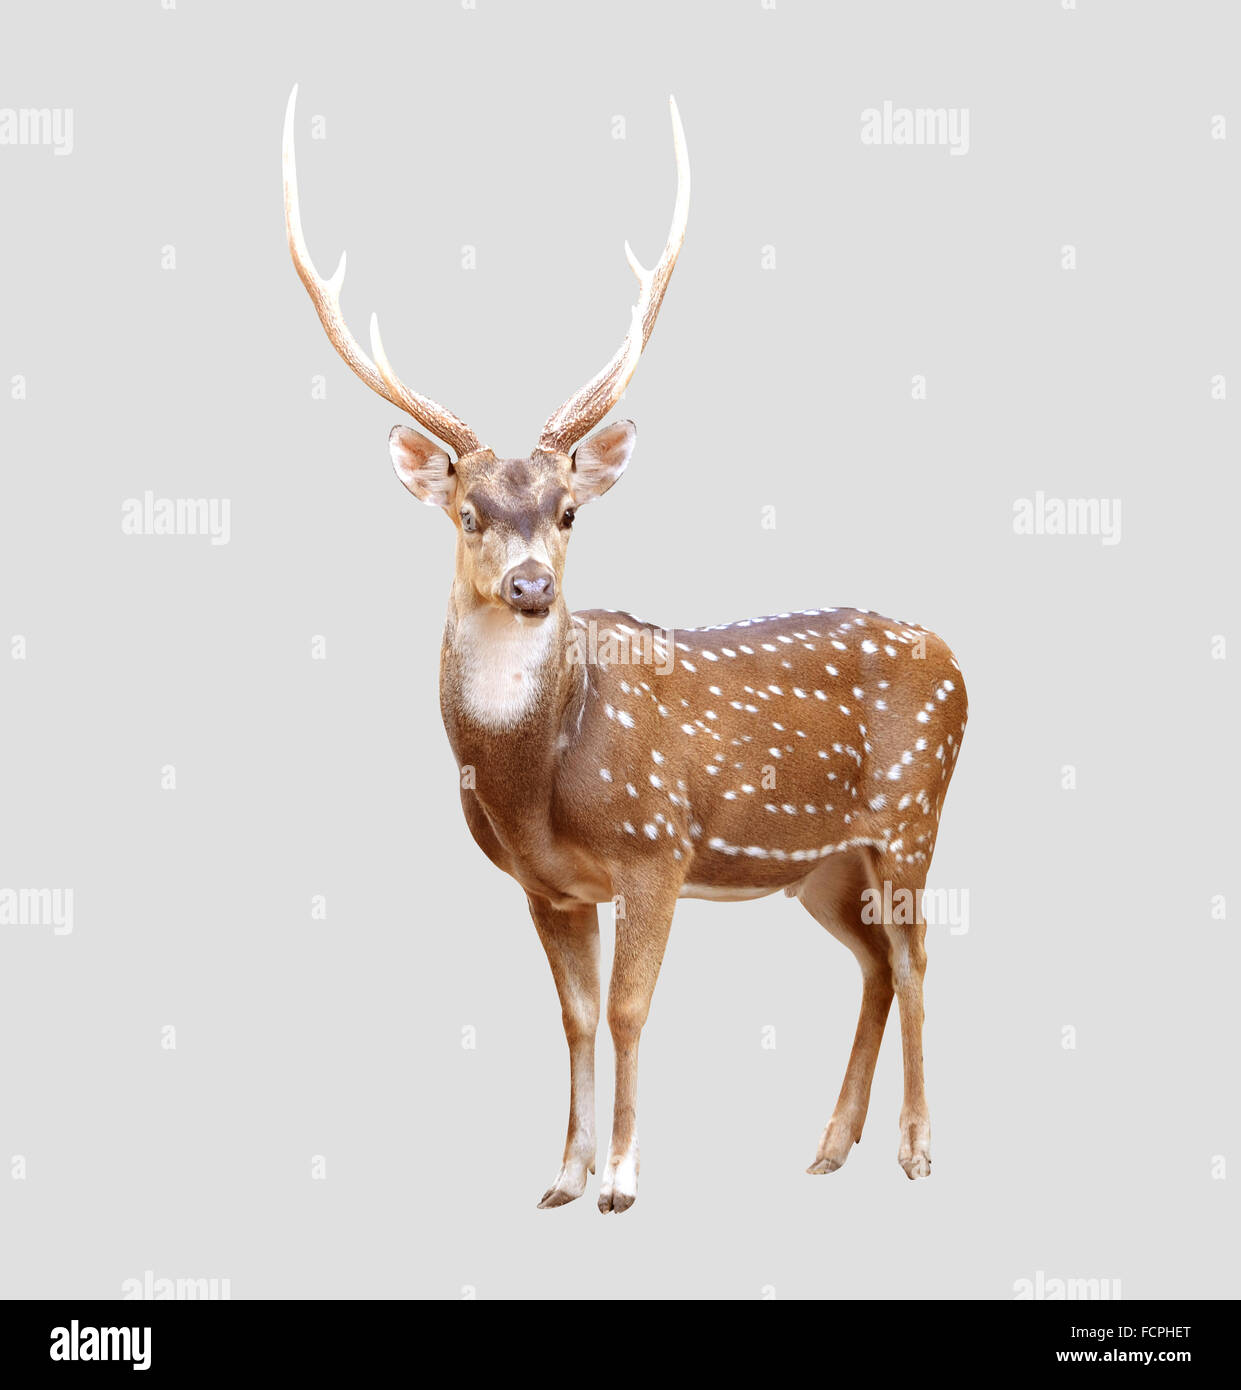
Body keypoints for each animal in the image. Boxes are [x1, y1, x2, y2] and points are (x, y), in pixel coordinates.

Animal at [282, 86, 968, 1213]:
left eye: (567, 512)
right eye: (469, 513)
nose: (530, 587)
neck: (537, 778)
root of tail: (958, 660)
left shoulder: (657, 845)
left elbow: (628, 1008)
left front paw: (623, 1179)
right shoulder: (546, 885)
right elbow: (570, 1016)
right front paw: (560, 1174)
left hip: (914, 808)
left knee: (916, 958)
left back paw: (915, 1151)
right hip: (819, 862)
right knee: (872, 961)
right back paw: (828, 1146)